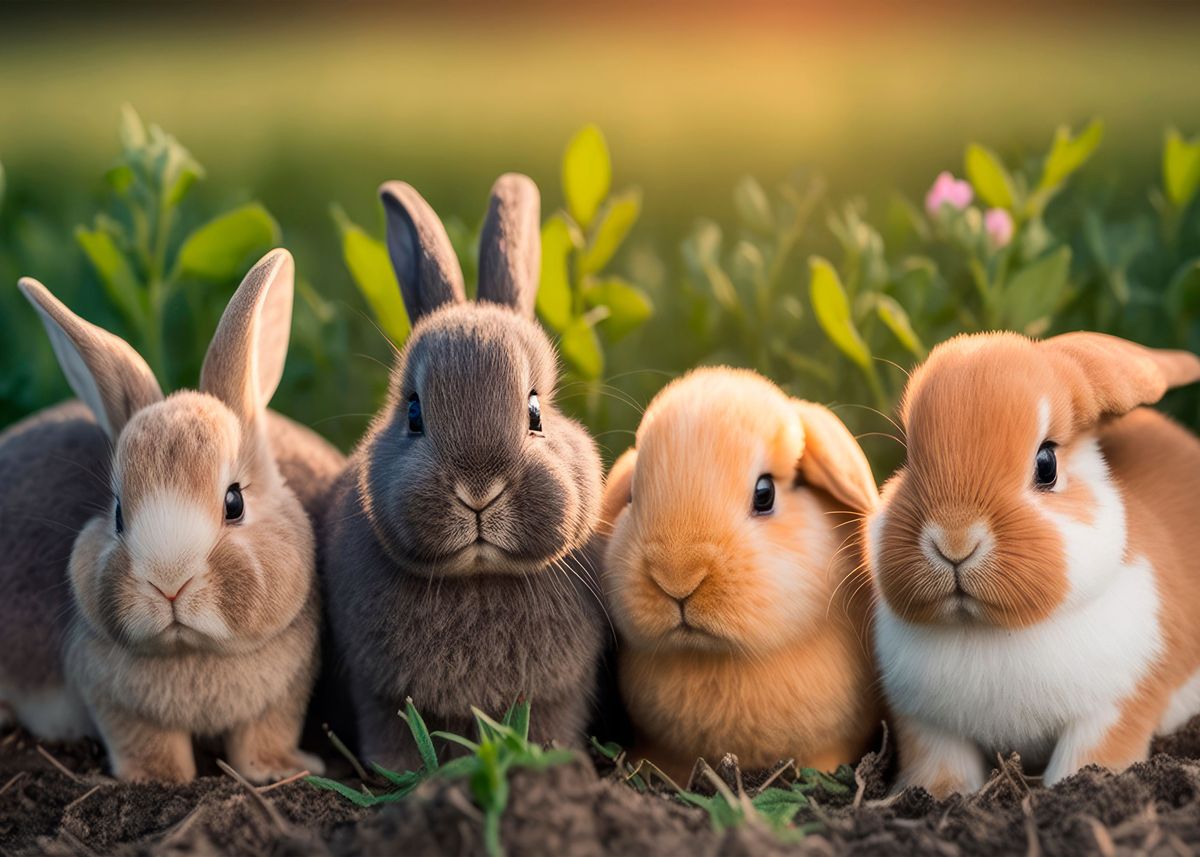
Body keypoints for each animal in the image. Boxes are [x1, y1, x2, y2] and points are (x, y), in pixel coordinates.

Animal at [0, 249, 344, 783]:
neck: (193, 651)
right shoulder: (115, 704)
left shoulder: (281, 699)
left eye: (234, 502)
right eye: (118, 513)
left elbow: (260, 740)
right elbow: (151, 745)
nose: (168, 583)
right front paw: (159, 780)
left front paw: (279, 769)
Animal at [321, 174, 606, 769]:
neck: (477, 577)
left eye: (535, 412)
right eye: (413, 414)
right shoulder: (380, 696)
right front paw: (400, 771)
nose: (478, 491)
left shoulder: (558, 694)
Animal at [867, 331, 1200, 797]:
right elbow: (941, 767)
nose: (955, 540)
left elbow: (1089, 755)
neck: (990, 631)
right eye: (908, 460)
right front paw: (938, 795)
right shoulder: (926, 725)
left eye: (1046, 465)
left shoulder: (1114, 708)